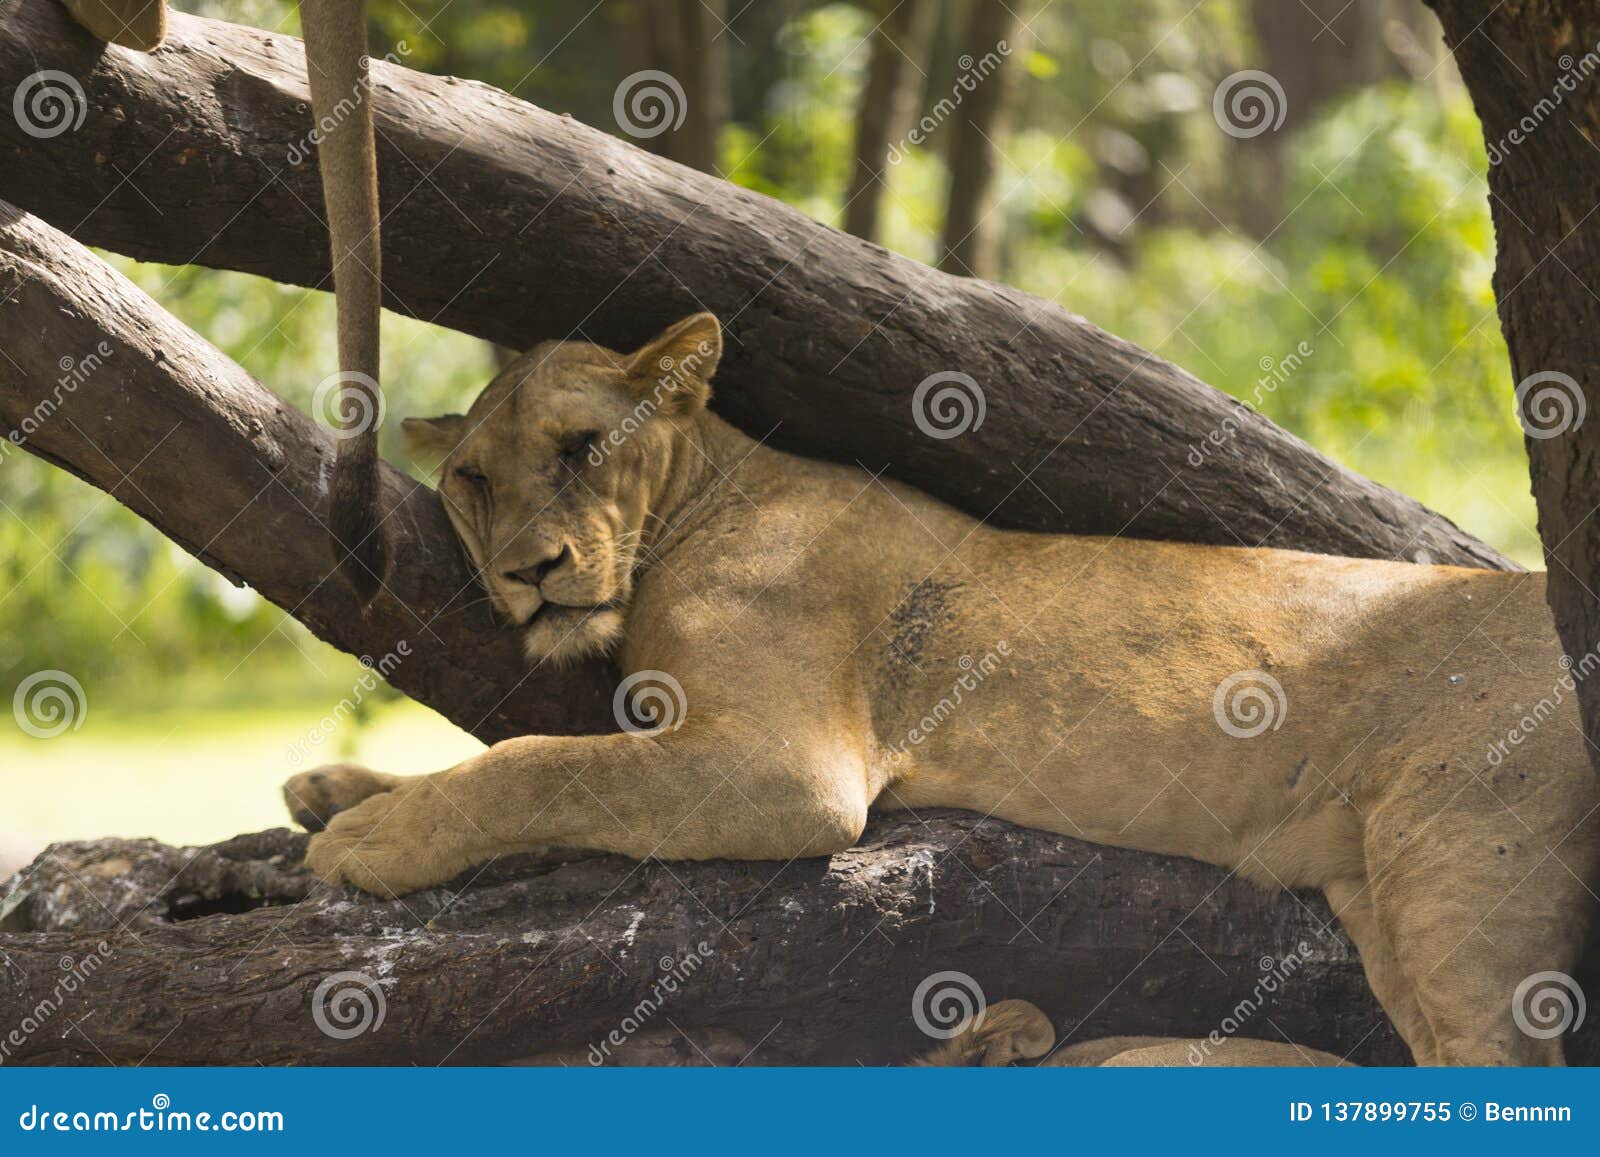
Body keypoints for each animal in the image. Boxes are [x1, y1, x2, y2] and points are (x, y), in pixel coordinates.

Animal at [284, 311, 1600, 1066]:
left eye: (580, 448)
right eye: (470, 479)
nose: (528, 572)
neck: (695, 500)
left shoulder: (788, 768)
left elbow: (536, 763)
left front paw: (368, 838)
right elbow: (530, 764)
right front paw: (334, 787)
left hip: (1455, 861)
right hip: (1376, 898)